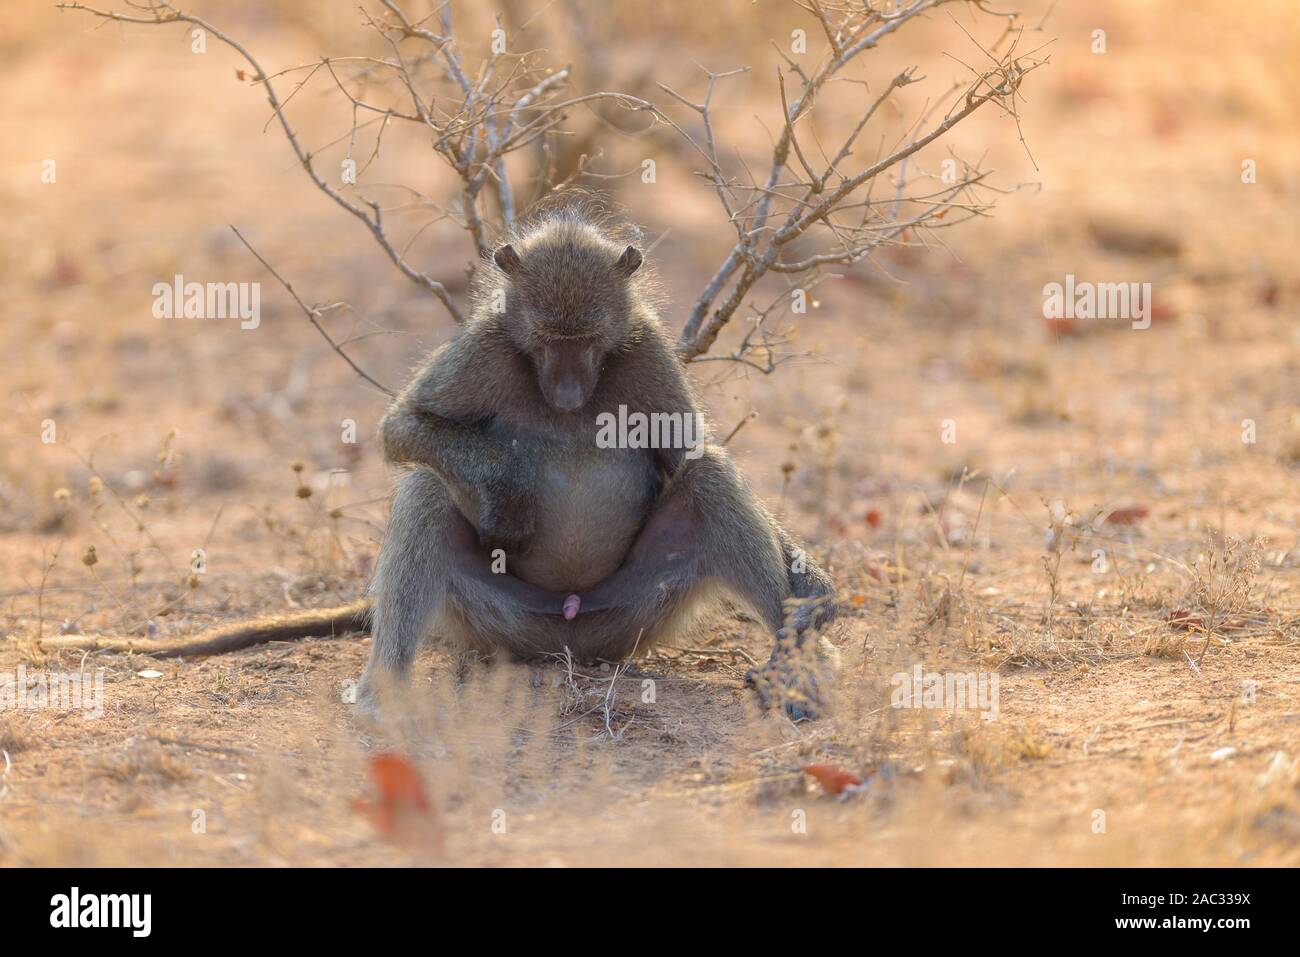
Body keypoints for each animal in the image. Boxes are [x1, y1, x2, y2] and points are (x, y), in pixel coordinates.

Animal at [84, 207, 836, 718]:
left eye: (590, 340)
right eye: (546, 337)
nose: (568, 393)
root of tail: (568, 630)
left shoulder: (645, 347)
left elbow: (690, 454)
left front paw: (815, 588)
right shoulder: (485, 344)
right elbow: (403, 430)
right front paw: (506, 486)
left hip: (631, 618)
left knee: (707, 482)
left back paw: (795, 667)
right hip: (493, 622)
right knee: (424, 491)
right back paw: (382, 690)